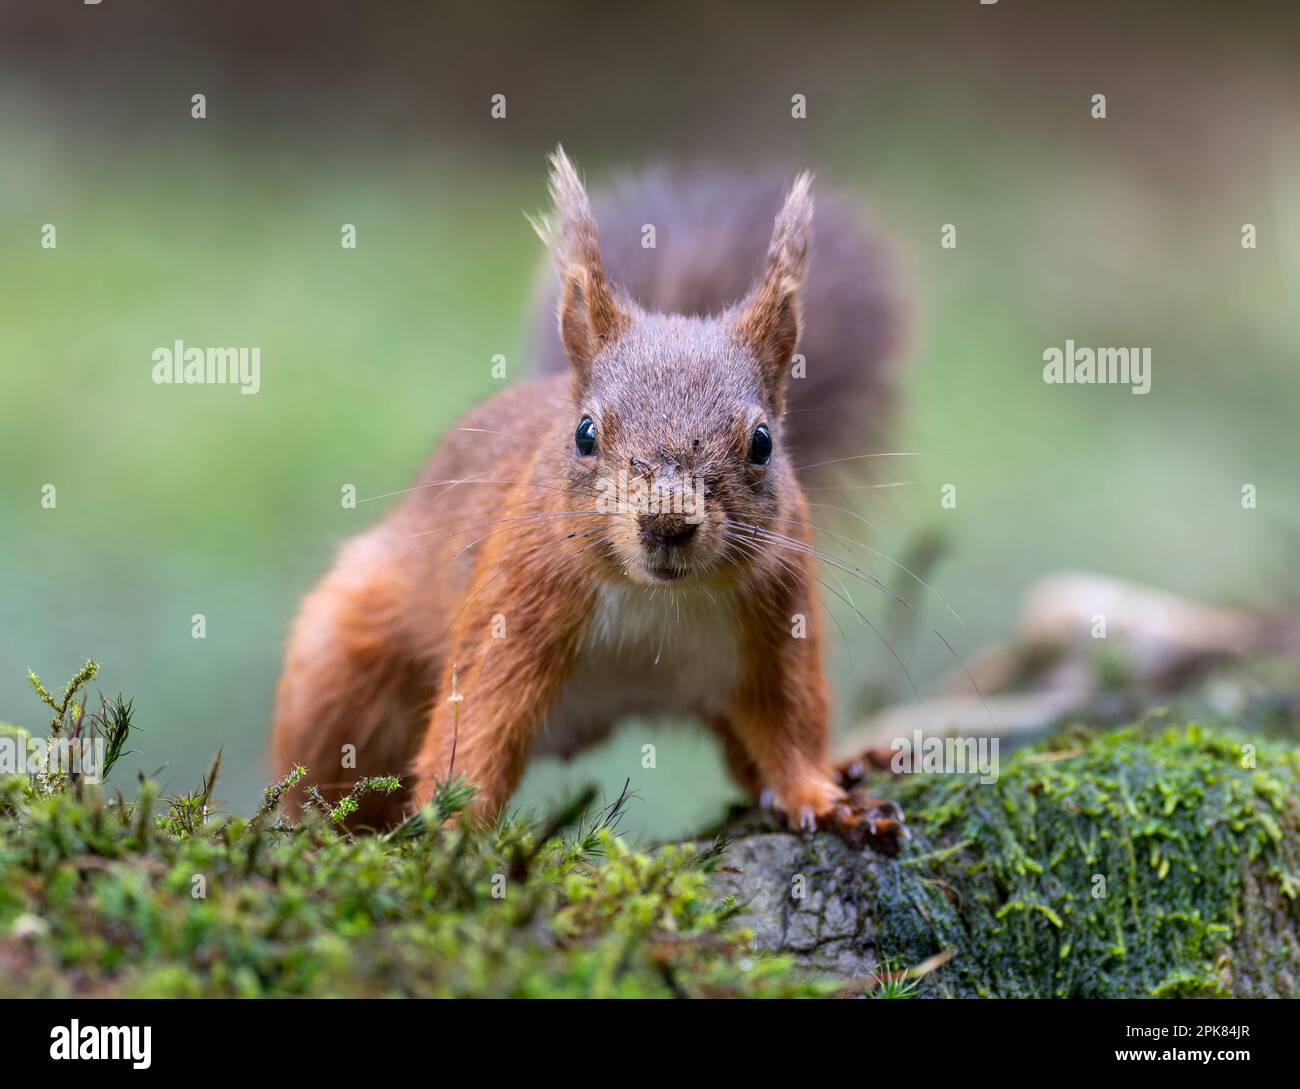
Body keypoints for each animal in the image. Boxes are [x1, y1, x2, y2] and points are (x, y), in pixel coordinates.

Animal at [271, 148, 908, 849]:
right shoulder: (518, 601)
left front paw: (821, 796)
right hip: (343, 662)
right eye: (585, 434)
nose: (667, 522)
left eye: (764, 443)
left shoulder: (778, 608)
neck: (655, 600)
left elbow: (790, 719)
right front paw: (454, 836)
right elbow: (477, 724)